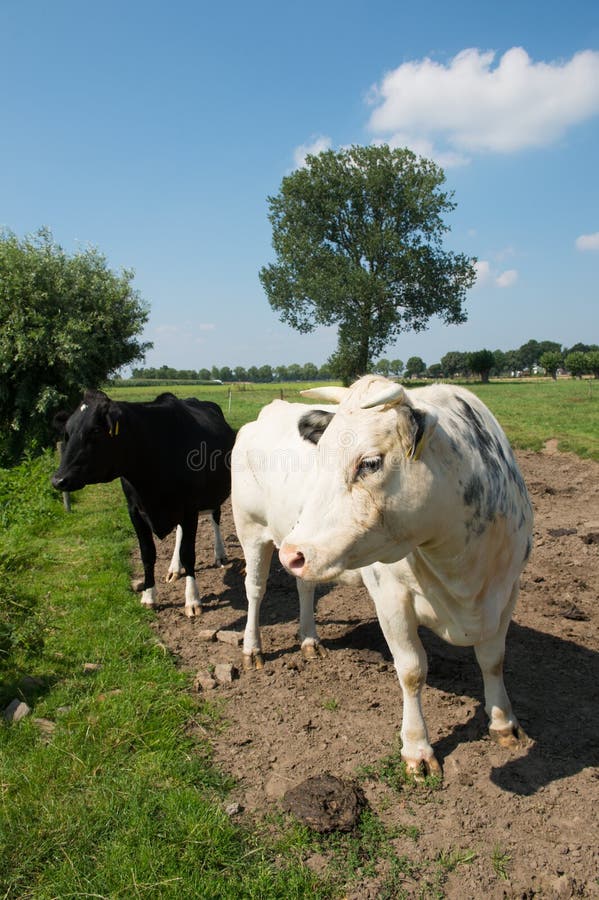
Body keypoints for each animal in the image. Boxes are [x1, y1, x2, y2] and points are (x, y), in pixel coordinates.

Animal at [52, 390, 236, 617]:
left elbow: (189, 553)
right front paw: (149, 596)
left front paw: (192, 600)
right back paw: (174, 568)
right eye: (67, 432)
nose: (58, 479)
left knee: (215, 517)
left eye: (95, 430)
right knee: (180, 533)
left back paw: (220, 555)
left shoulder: (190, 509)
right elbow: (147, 553)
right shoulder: (135, 511)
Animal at [279, 376, 533, 776]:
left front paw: (503, 722)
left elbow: (493, 659)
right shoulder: (391, 598)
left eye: (370, 463)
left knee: (305, 588)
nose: (291, 553)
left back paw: (309, 639)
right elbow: (412, 670)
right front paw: (417, 748)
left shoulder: (507, 592)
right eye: (320, 458)